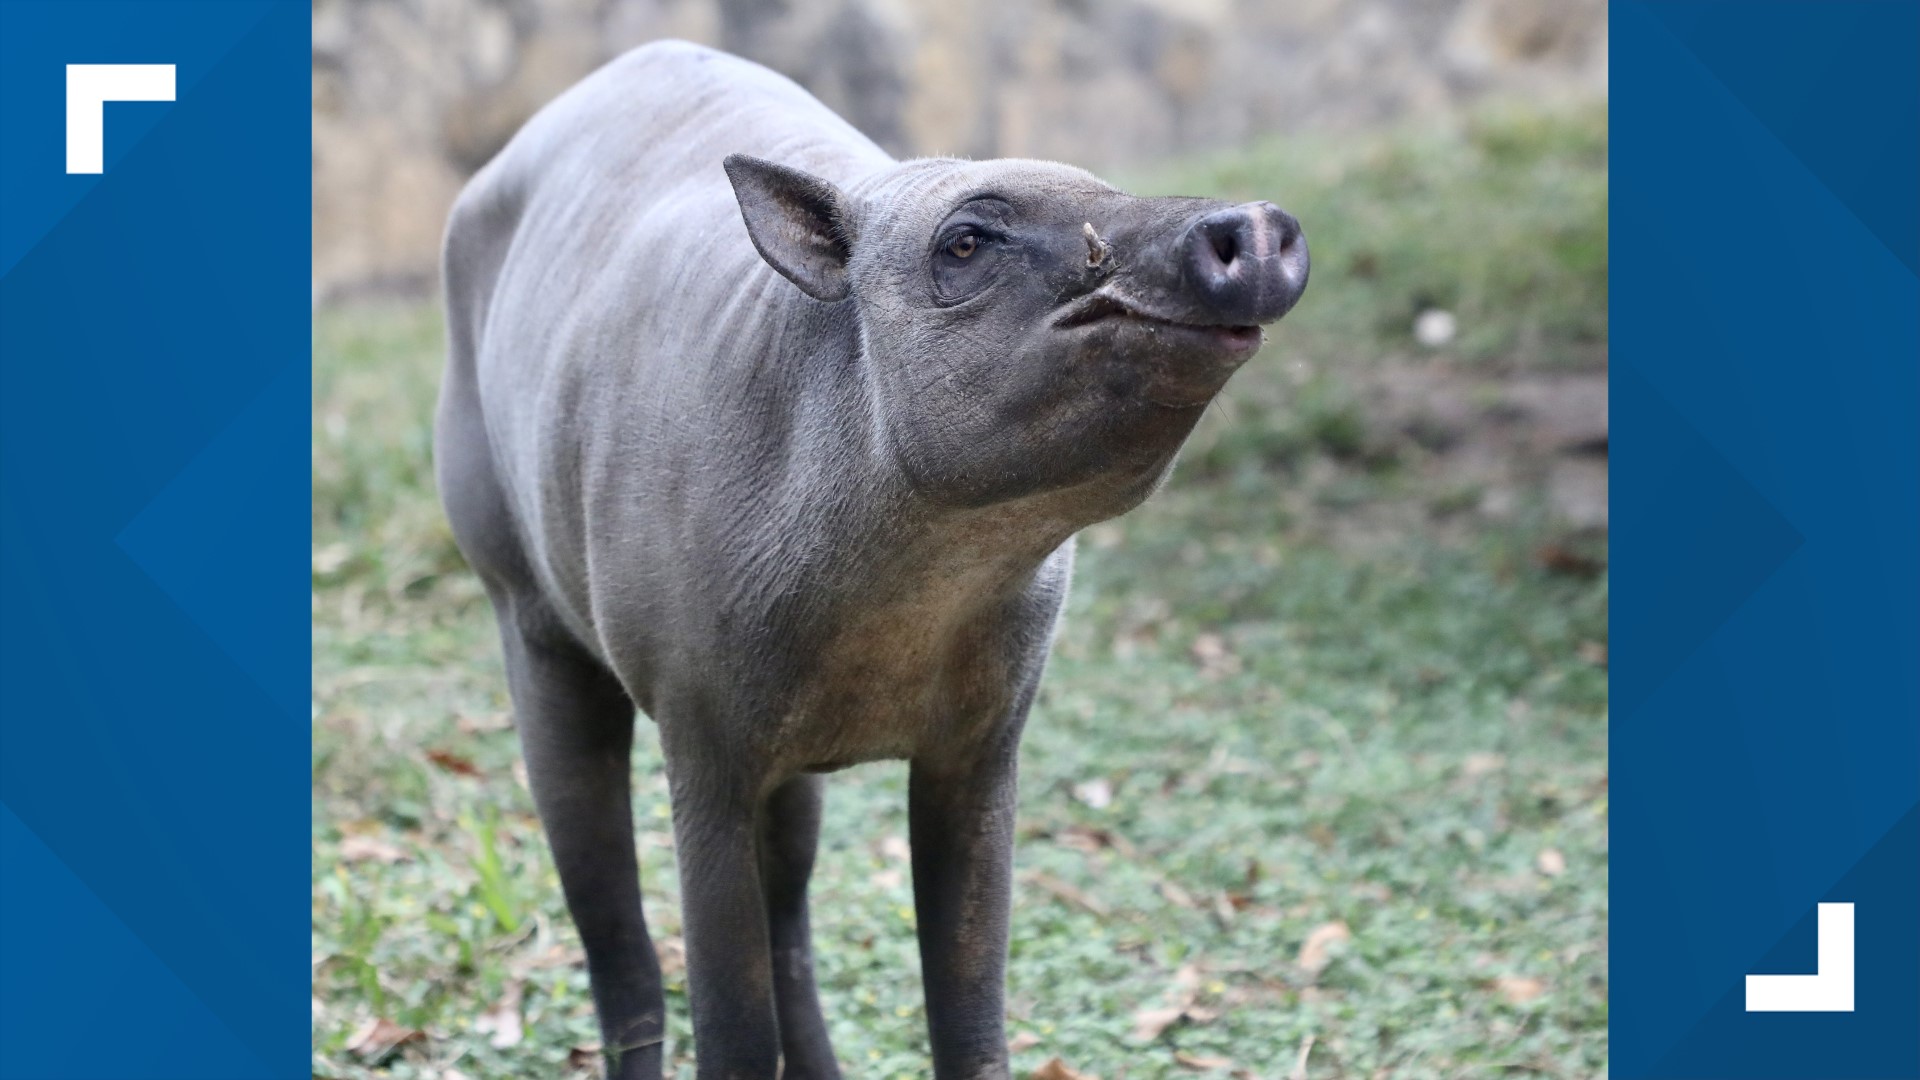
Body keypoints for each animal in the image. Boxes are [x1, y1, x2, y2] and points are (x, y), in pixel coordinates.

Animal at [435, 40, 1307, 1080]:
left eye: (1109, 187)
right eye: (964, 243)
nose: (1255, 224)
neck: (915, 582)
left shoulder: (981, 751)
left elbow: (970, 1013)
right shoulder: (703, 748)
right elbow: (731, 1025)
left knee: (790, 919)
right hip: (529, 617)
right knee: (615, 931)